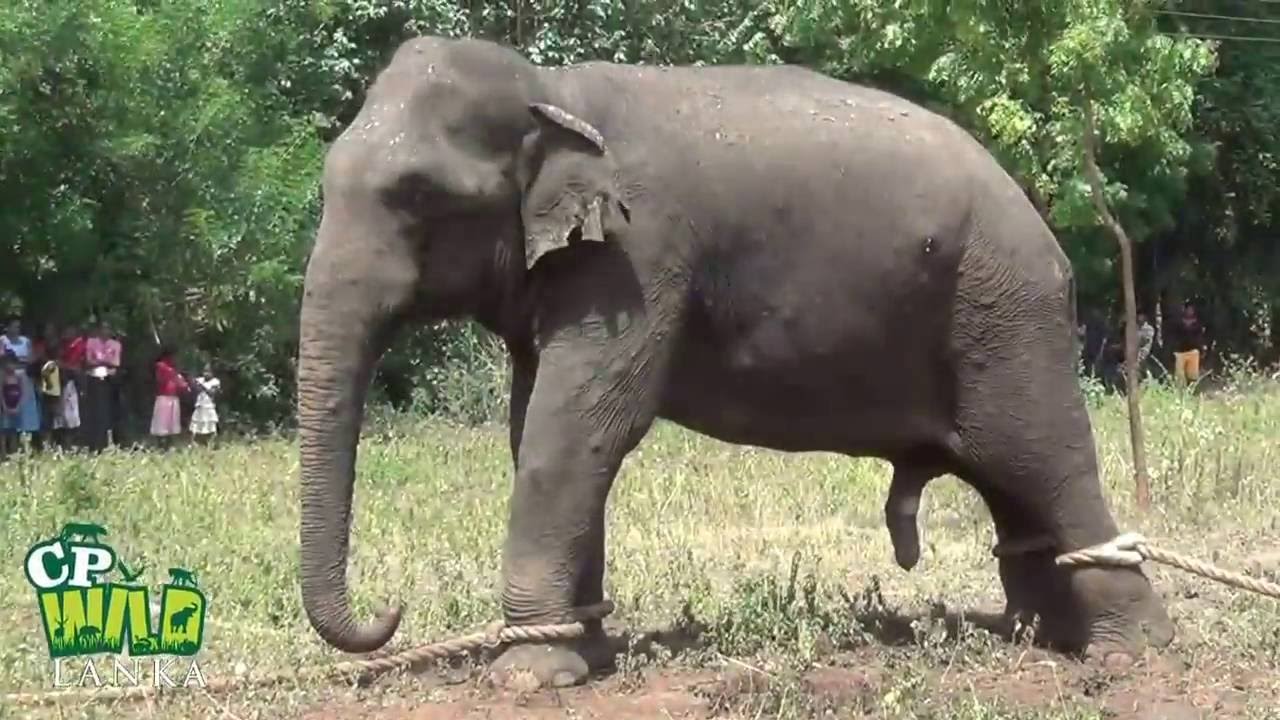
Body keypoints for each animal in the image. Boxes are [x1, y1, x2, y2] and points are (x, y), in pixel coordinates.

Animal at [296, 35, 1174, 688]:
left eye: (416, 196)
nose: (391, 612)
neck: (553, 89)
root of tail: (1039, 225)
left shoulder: (639, 259)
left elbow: (578, 429)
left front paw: (529, 675)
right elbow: (535, 428)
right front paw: (586, 655)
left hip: (1006, 315)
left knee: (1040, 460)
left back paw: (1129, 654)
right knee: (1009, 482)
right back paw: (1037, 638)